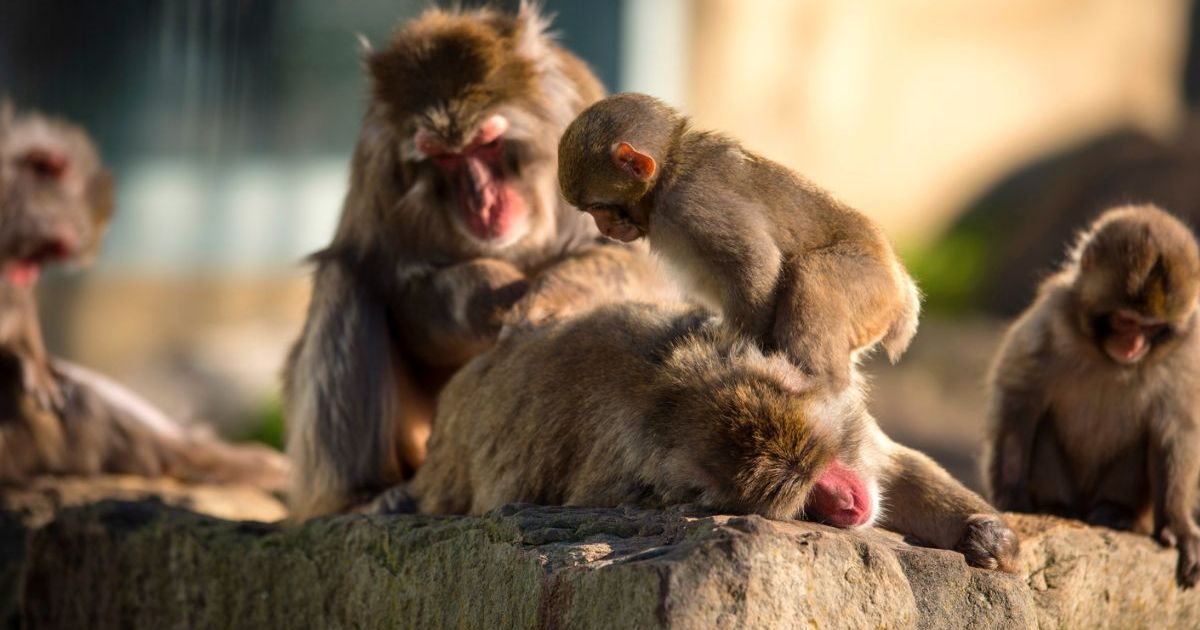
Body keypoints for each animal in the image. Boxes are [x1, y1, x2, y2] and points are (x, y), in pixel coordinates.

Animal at [283, 5, 671, 520]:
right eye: (445, 157)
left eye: (486, 144)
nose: (482, 202)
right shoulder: (379, 162)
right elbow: (398, 285)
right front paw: (490, 297)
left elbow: (636, 260)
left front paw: (547, 298)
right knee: (345, 277)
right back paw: (361, 495)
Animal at [372, 301, 1018, 571]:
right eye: (808, 494)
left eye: (826, 470)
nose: (849, 502)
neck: (683, 392)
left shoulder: (848, 420)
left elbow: (899, 468)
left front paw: (987, 532)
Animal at [557, 93, 921, 391]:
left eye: (598, 209)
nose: (604, 227)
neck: (669, 170)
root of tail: (902, 289)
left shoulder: (692, 201)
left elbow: (756, 259)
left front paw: (742, 346)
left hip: (871, 286)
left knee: (813, 272)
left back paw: (816, 380)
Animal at [984, 204, 1200, 586]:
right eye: (1126, 321)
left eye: (1152, 328)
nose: (1133, 346)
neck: (1107, 356)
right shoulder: (1050, 317)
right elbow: (1019, 401)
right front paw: (1011, 494)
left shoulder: (1187, 350)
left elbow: (1176, 432)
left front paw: (1178, 525)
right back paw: (1055, 506)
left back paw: (1115, 512)